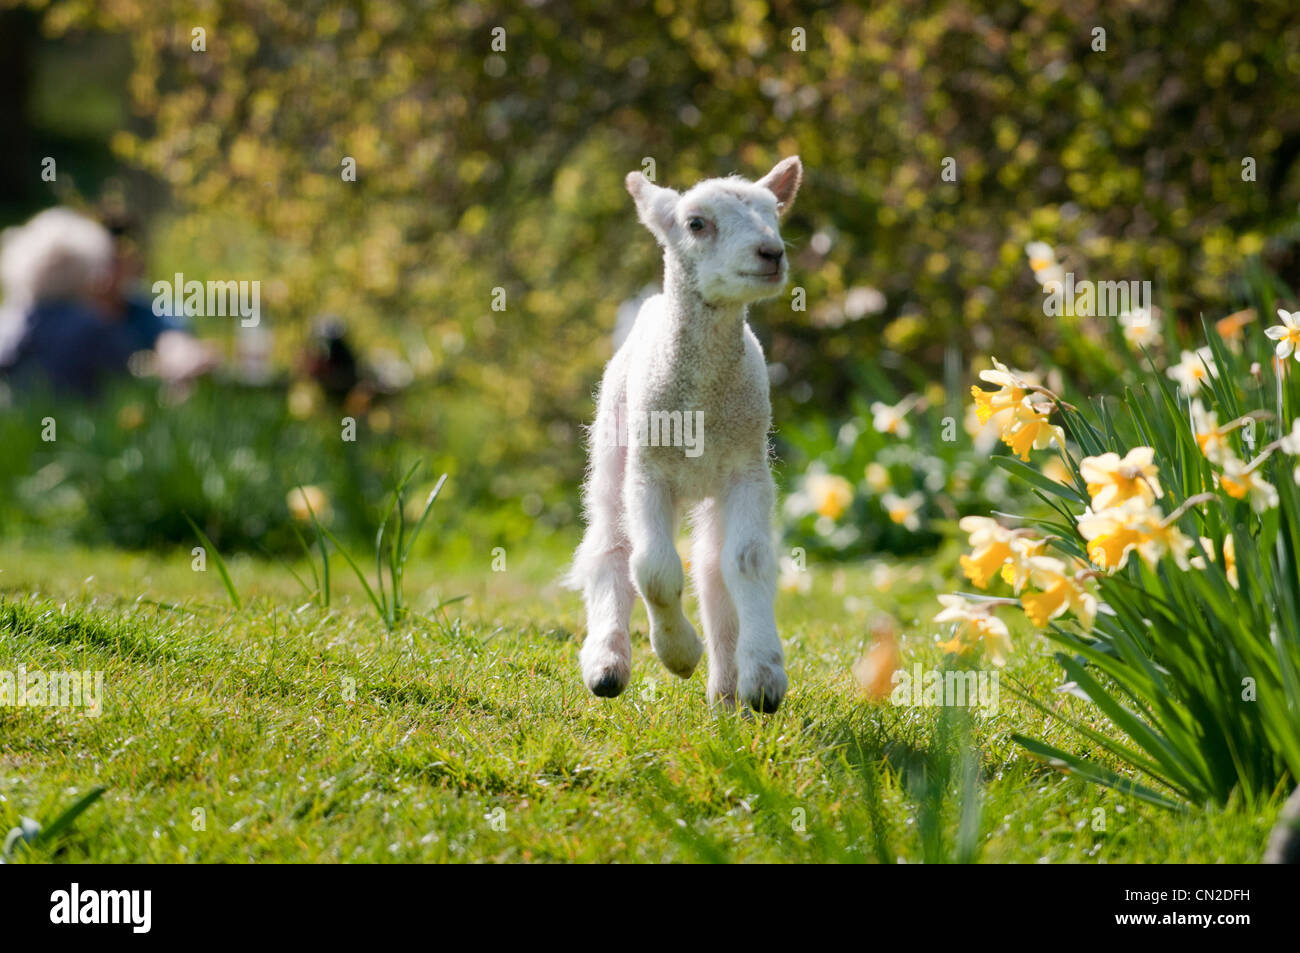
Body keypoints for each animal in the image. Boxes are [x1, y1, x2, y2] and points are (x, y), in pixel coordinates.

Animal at [566, 156, 802, 713]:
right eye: (696, 224)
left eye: (774, 213)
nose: (772, 253)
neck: (701, 405)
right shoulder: (648, 472)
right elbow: (653, 568)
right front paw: (678, 653)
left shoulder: (747, 470)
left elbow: (745, 562)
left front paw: (764, 678)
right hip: (612, 448)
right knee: (610, 546)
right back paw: (607, 665)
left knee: (713, 569)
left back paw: (727, 692)